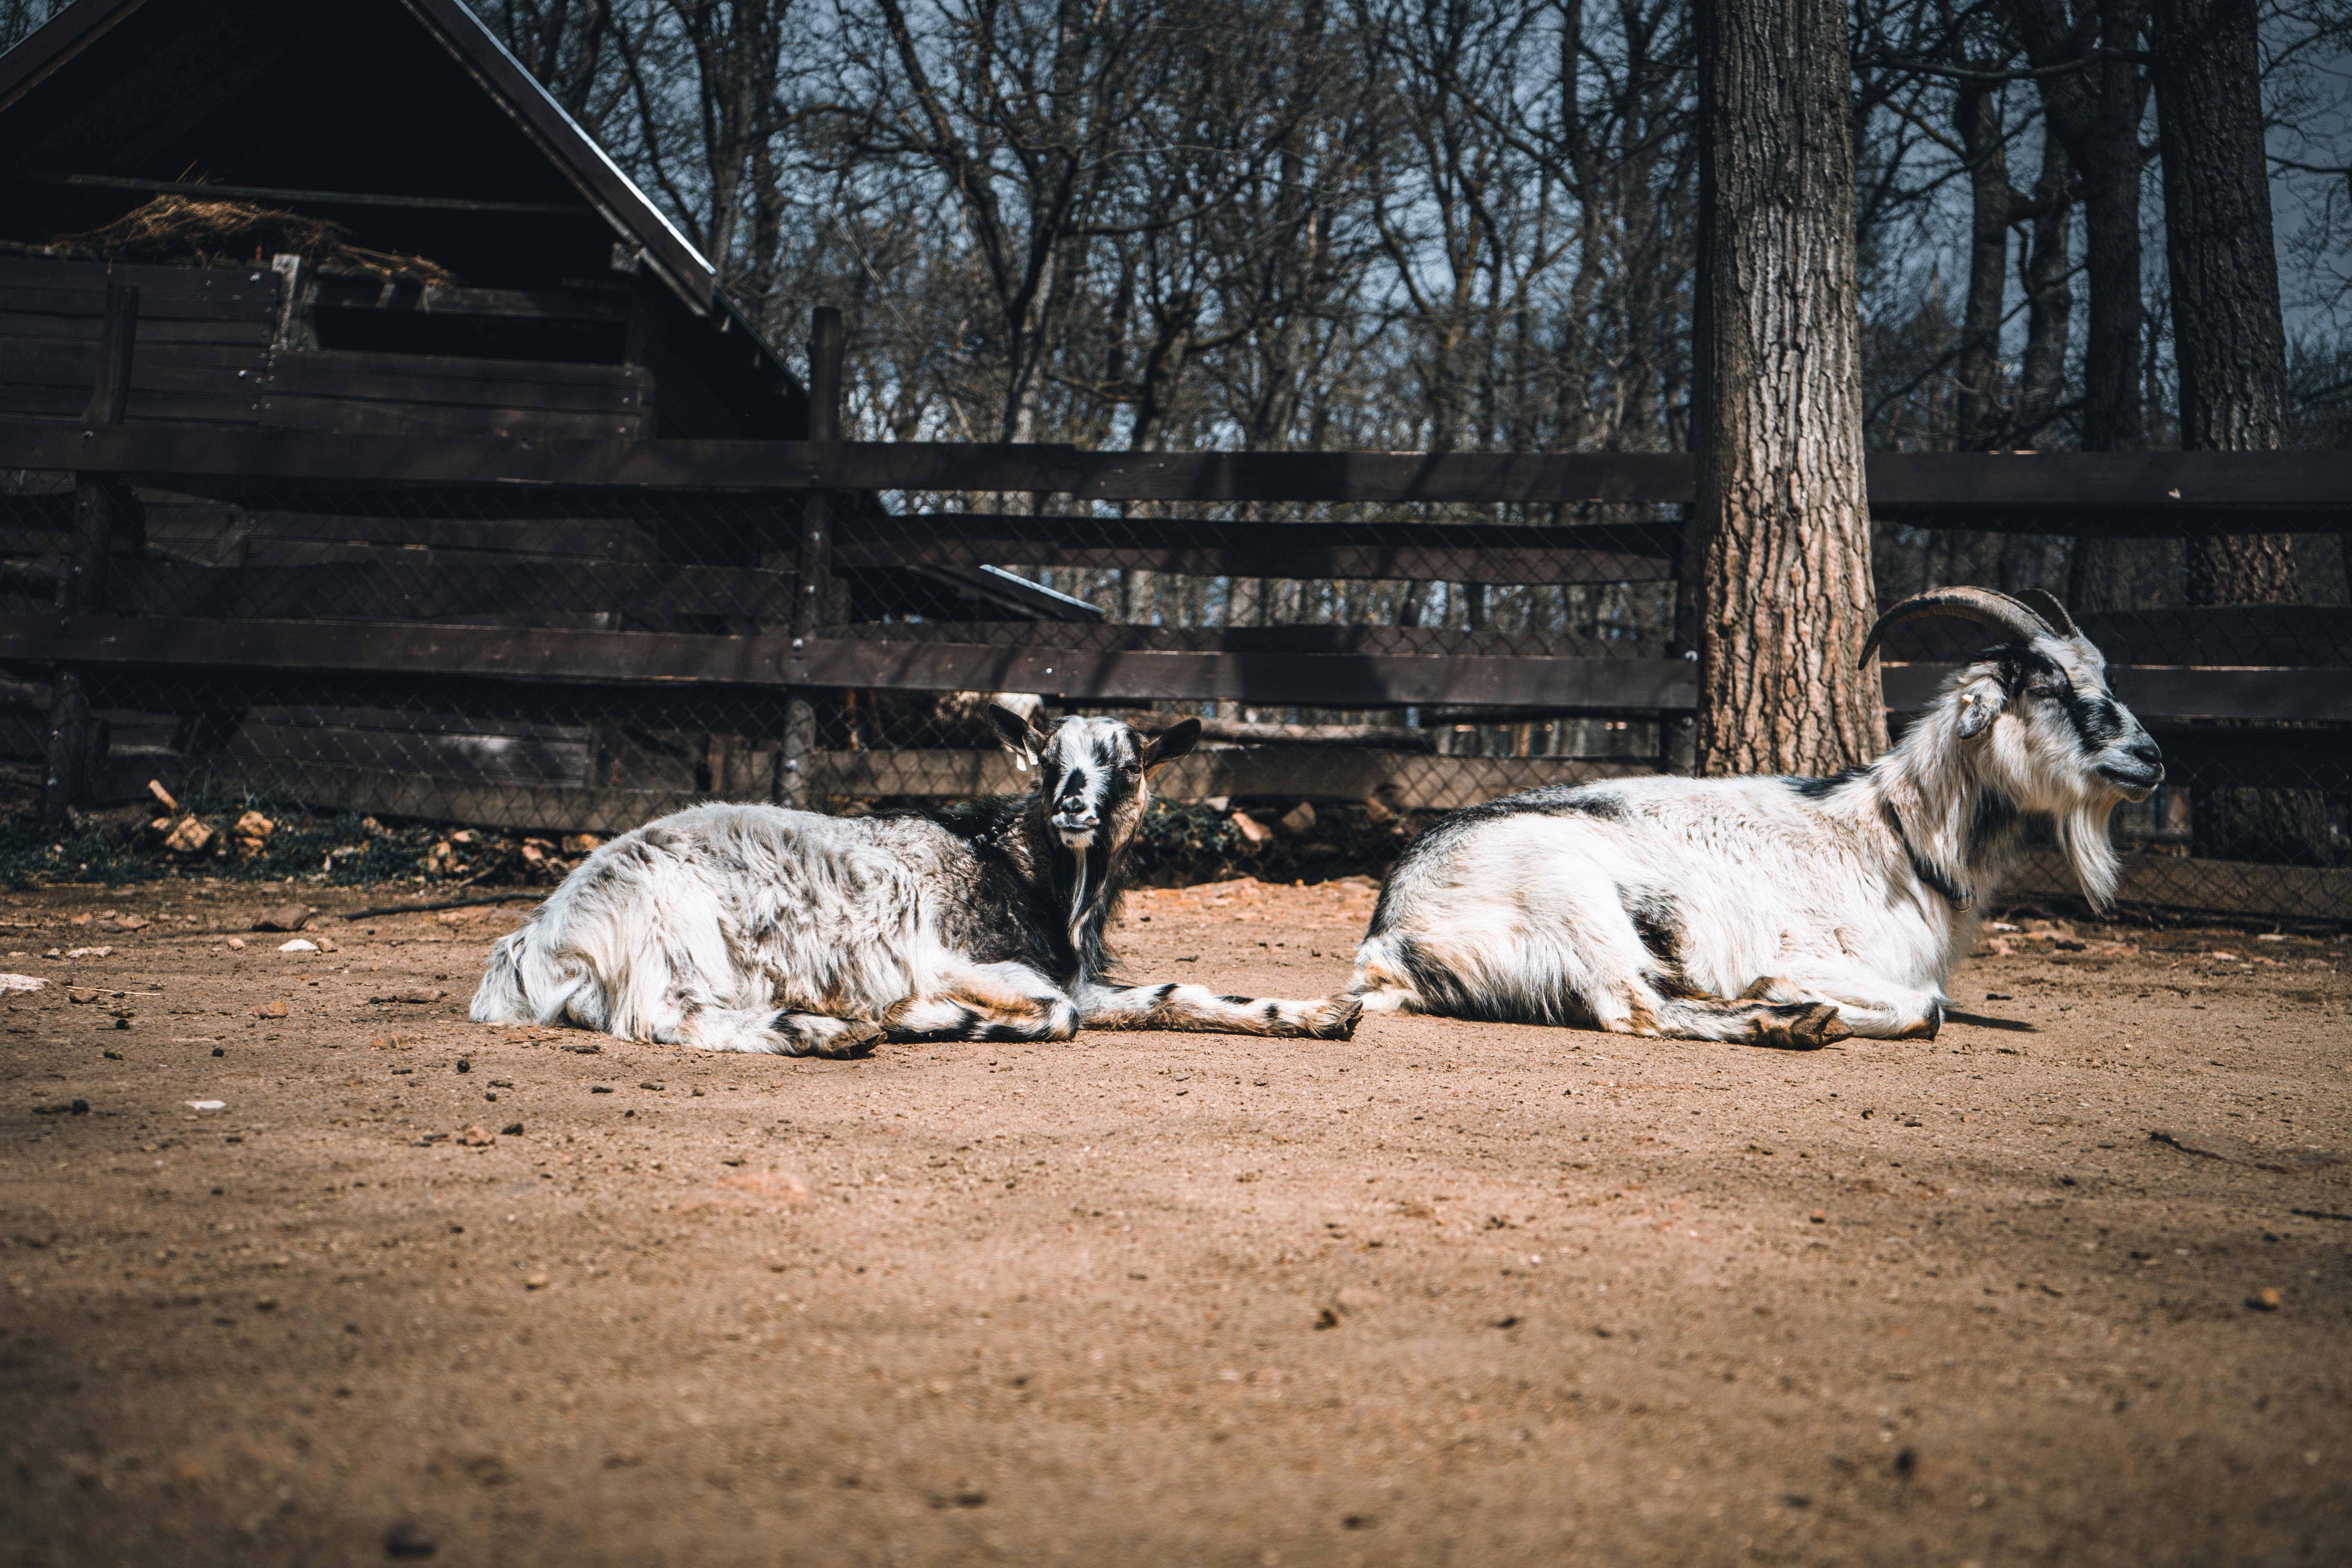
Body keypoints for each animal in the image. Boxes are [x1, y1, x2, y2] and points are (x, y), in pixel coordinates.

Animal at [471, 707, 1361, 1053]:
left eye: (1132, 762)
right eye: (1047, 760)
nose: (1073, 805)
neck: (1019, 872)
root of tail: (532, 943)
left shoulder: (1078, 974)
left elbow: (1179, 993)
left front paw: (1322, 1013)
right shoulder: (953, 958)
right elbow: (1058, 1013)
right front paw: (919, 1015)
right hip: (673, 929)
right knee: (666, 1019)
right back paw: (831, 1030)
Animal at [1345, 587, 2163, 1048]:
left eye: (2107, 679)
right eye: (2049, 689)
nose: (2151, 758)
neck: (1896, 839)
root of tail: (1391, 937)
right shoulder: (1820, 952)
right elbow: (1927, 1006)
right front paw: (1785, 993)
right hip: (1574, 903)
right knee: (1638, 1009)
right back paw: (1787, 1020)